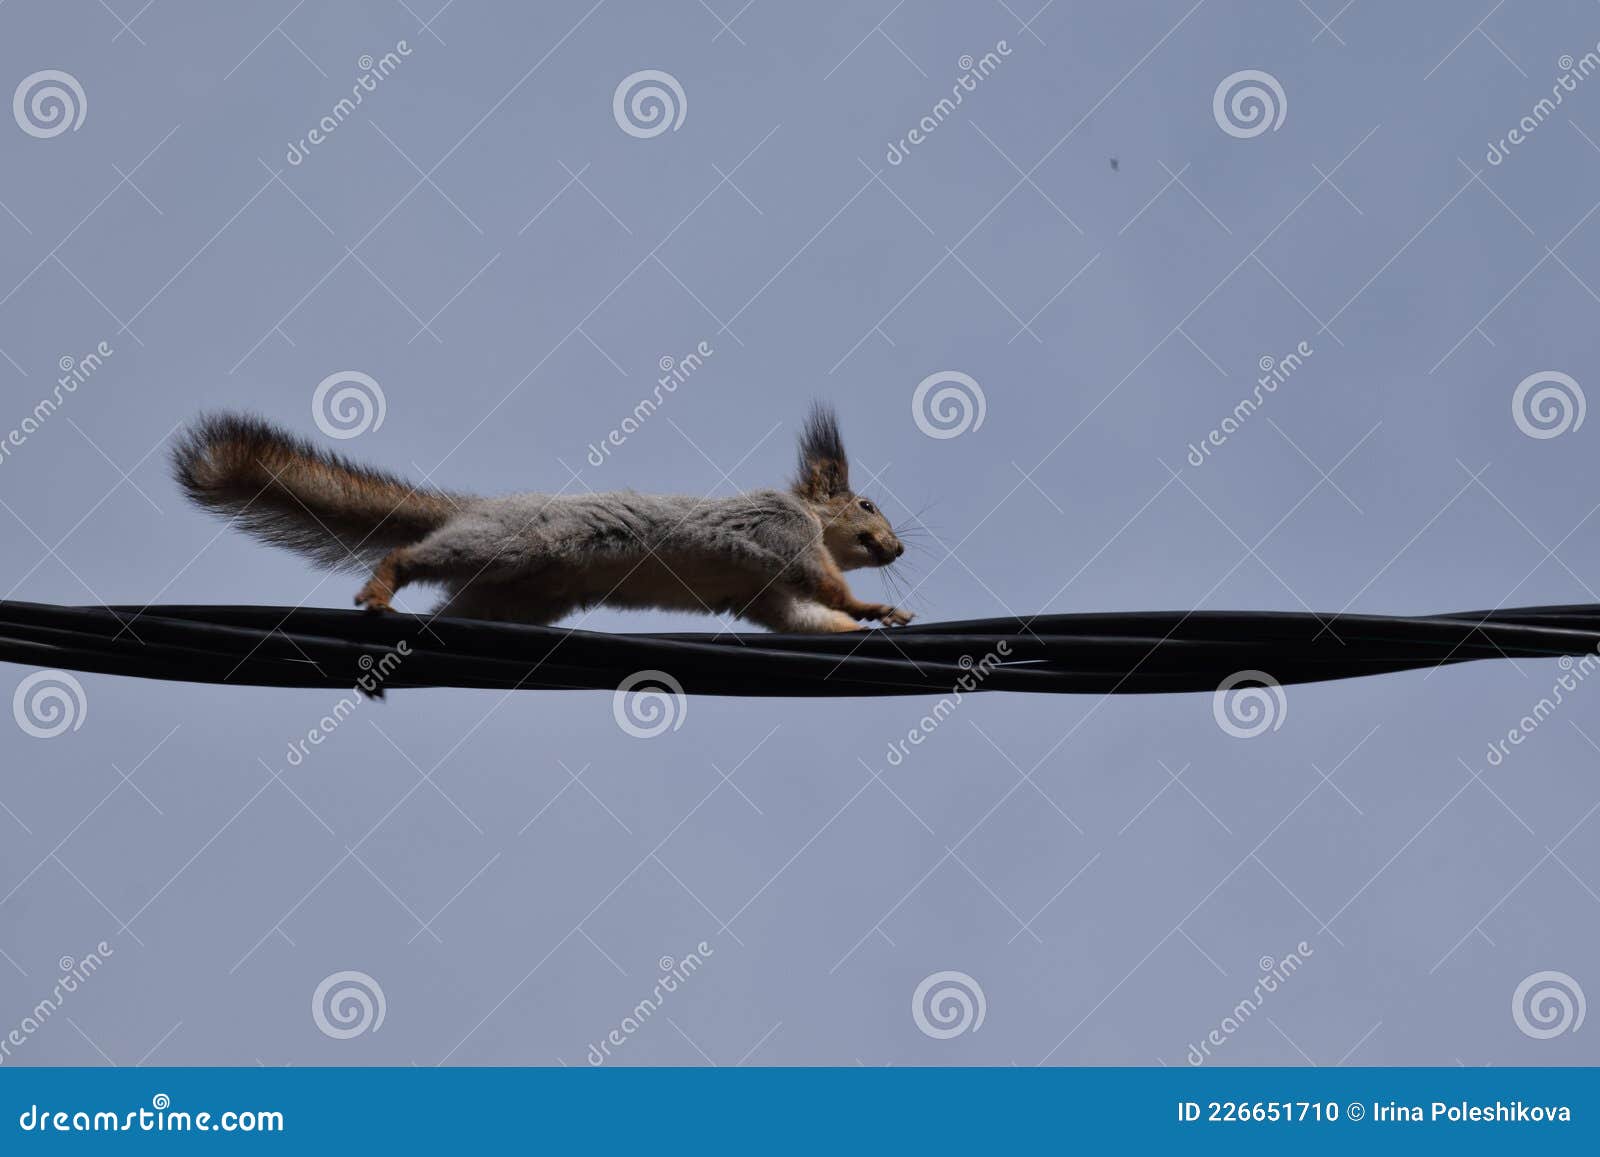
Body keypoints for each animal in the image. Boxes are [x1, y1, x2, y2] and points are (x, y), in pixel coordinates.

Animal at [170, 404, 914, 633]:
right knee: (413, 556)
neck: (813, 520)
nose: (898, 549)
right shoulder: (784, 536)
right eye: (867, 505)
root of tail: (478, 510)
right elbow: (824, 584)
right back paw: (383, 583)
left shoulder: (763, 596)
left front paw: (861, 624)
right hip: (508, 549)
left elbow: (800, 619)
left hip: (513, 597)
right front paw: (870, 606)